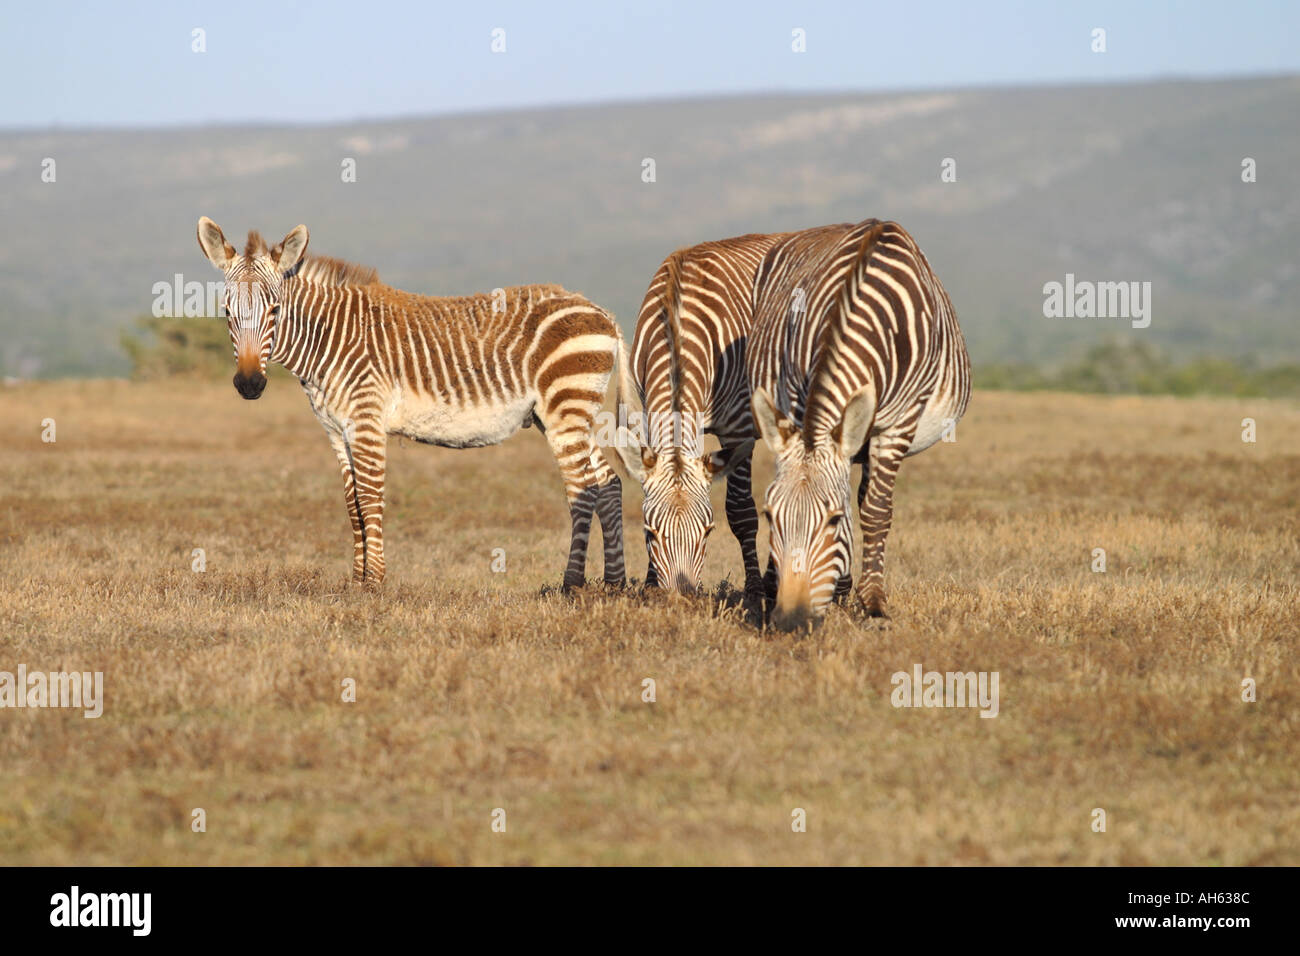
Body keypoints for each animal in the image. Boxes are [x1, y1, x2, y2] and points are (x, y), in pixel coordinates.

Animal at [195, 217, 626, 591]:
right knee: (608, 483)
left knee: (583, 488)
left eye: (275, 310)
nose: (249, 384)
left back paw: (572, 584)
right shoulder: (335, 430)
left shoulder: (366, 419)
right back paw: (615, 583)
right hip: (564, 415)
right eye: (227, 312)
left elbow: (370, 498)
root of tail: (600, 310)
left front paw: (374, 583)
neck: (328, 339)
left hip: (564, 408)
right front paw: (356, 582)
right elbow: (352, 505)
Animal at [614, 233, 789, 614]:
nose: (682, 601)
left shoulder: (738, 428)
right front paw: (650, 586)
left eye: (708, 531)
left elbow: (741, 513)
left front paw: (754, 592)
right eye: (649, 533)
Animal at [746, 219, 970, 631]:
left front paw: (873, 601)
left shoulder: (898, 423)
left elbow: (876, 510)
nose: (791, 621)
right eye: (769, 515)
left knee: (867, 496)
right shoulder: (799, 398)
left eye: (833, 521)